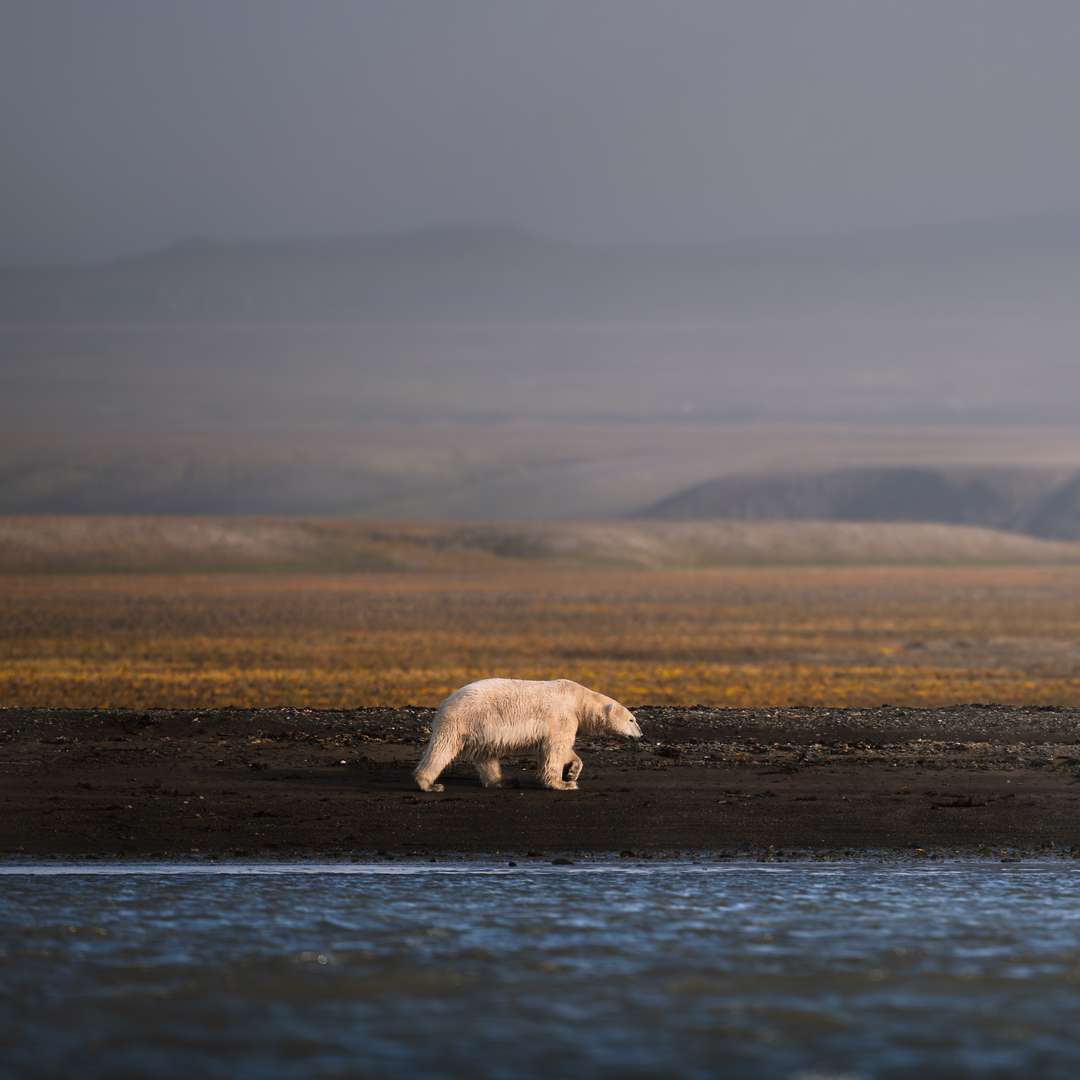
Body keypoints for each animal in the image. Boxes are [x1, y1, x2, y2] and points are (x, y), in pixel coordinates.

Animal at [414, 677, 642, 792]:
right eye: (632, 720)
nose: (640, 734)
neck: (577, 699)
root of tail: (445, 702)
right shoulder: (561, 716)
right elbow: (556, 749)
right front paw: (563, 784)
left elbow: (561, 750)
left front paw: (572, 772)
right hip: (462, 720)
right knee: (442, 749)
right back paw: (429, 784)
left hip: (482, 727)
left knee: (486, 755)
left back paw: (503, 781)